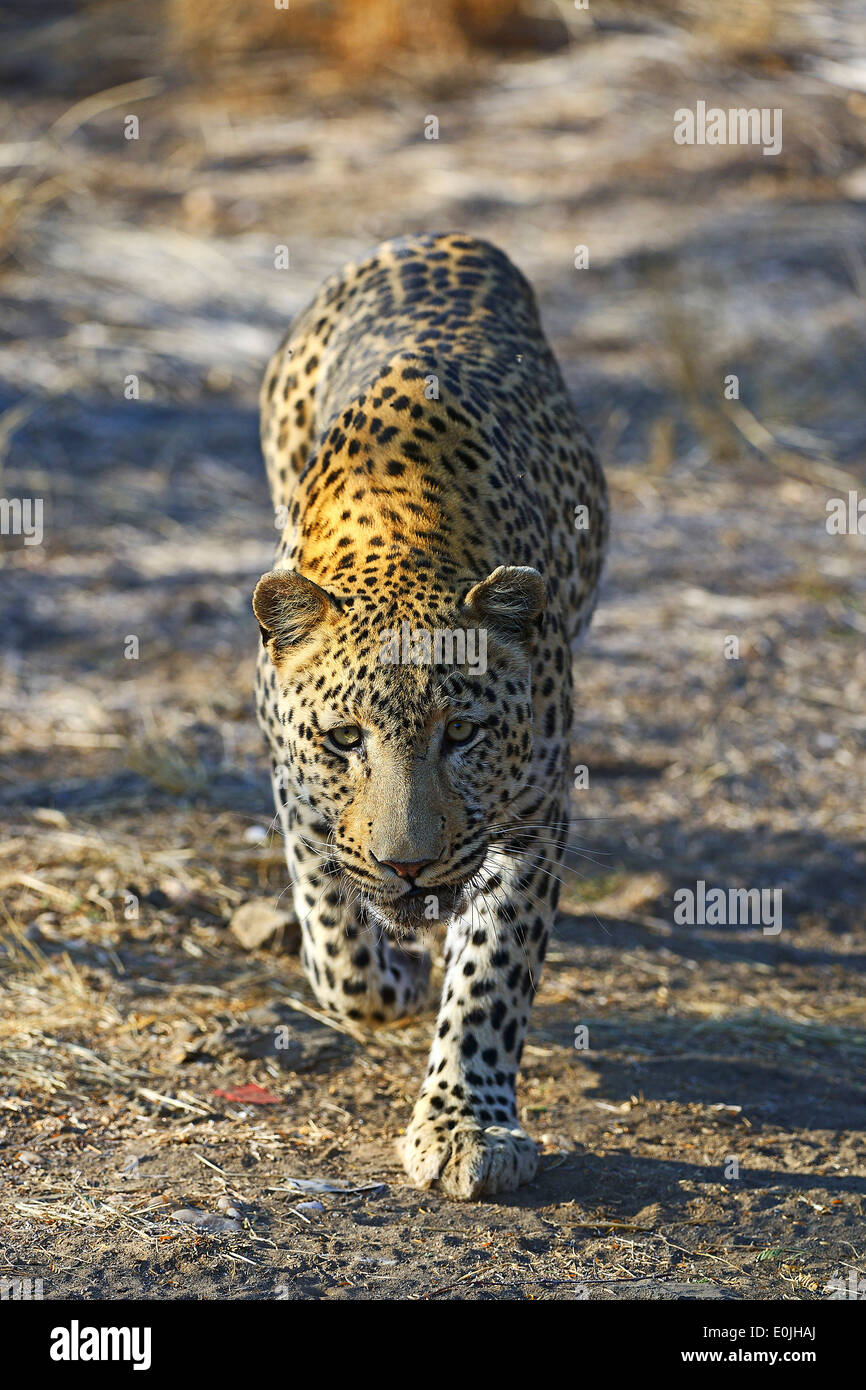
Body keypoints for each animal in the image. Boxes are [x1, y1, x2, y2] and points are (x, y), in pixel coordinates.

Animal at [253, 232, 607, 1200]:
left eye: (464, 735)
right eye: (345, 741)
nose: (408, 868)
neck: (402, 540)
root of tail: (435, 237)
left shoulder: (532, 812)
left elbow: (493, 970)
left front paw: (467, 1125)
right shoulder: (297, 784)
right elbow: (335, 940)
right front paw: (393, 984)